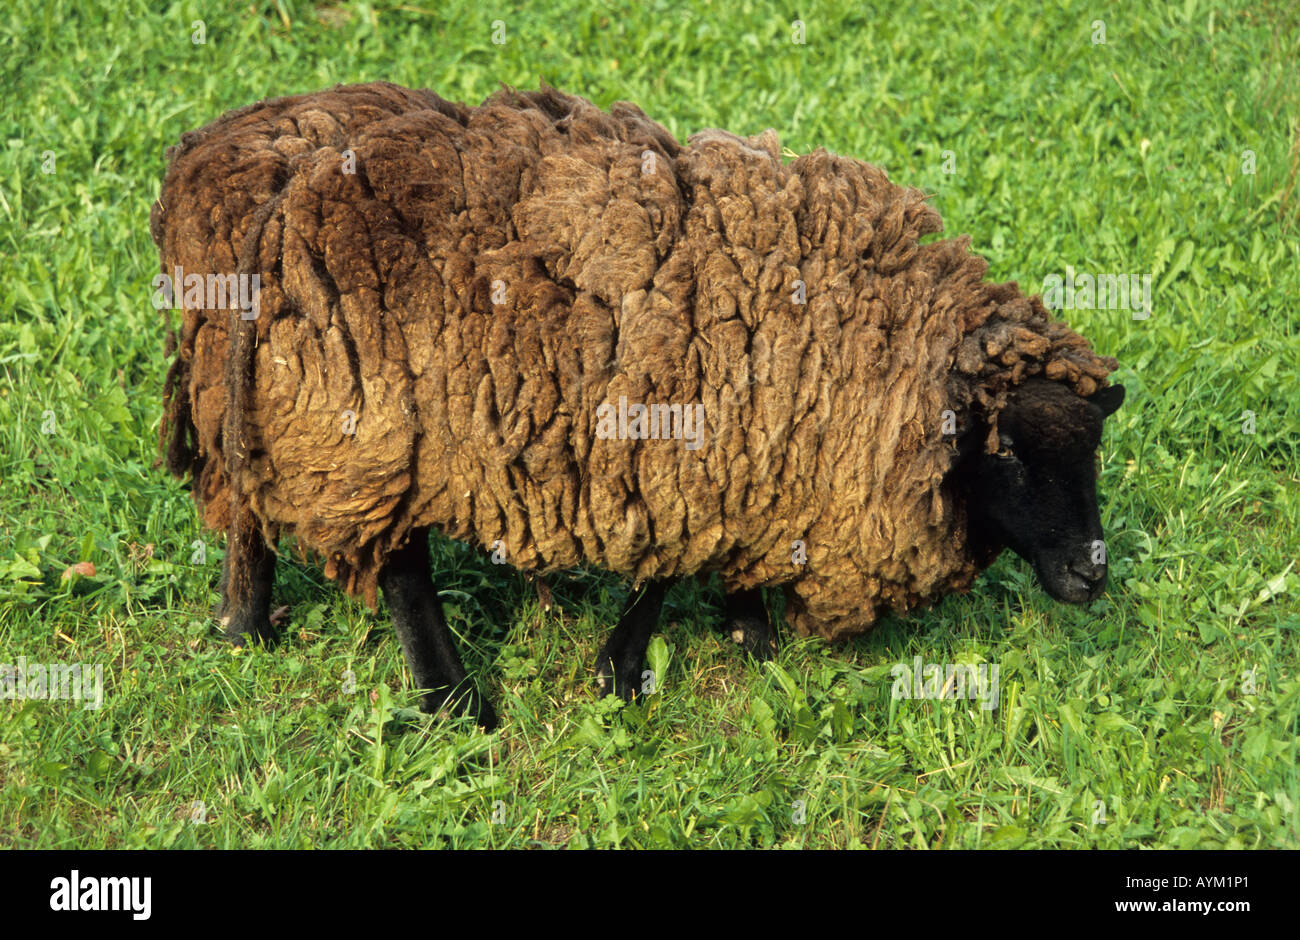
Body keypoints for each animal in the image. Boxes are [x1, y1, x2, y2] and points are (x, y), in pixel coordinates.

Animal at [151, 81, 1125, 728]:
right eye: (1008, 453)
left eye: (1092, 454)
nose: (1093, 575)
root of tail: (224, 162)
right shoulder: (686, 449)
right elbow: (661, 573)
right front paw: (622, 676)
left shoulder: (754, 455)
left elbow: (732, 554)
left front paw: (747, 633)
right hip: (371, 418)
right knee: (399, 564)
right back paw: (453, 701)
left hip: (258, 392)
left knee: (246, 505)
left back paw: (244, 627)